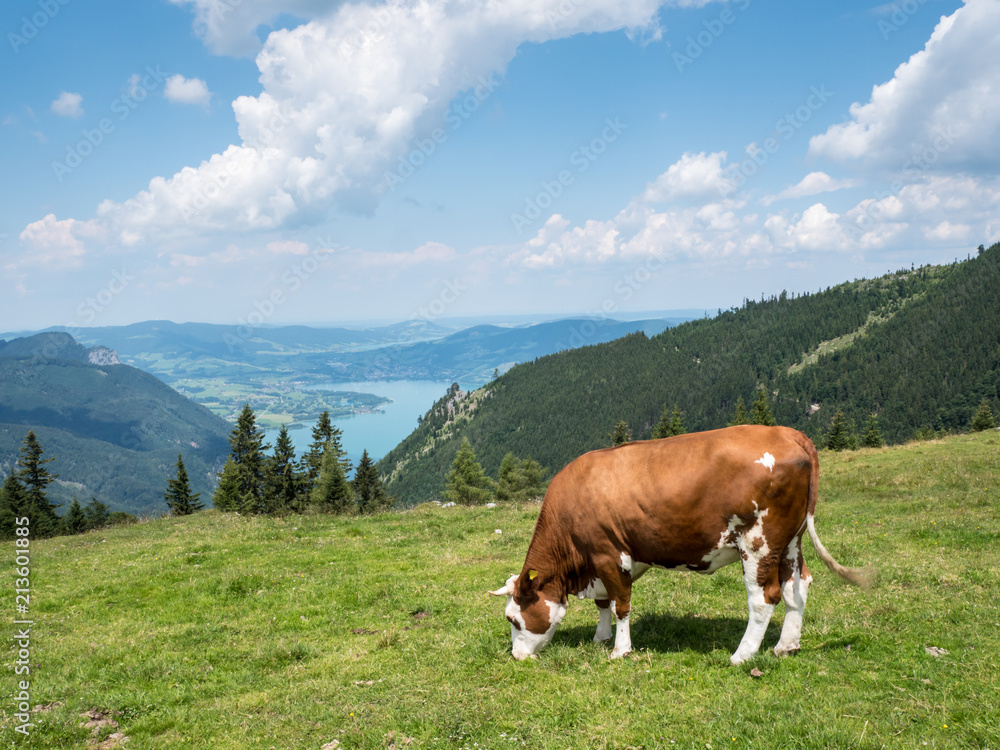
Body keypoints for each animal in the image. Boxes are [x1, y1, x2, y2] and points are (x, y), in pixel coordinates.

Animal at [490, 425, 870, 664]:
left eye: (513, 619)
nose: (517, 657)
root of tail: (788, 432)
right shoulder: (598, 562)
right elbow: (604, 602)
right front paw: (601, 637)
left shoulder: (608, 554)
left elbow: (621, 604)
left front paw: (620, 650)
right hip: (791, 541)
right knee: (797, 587)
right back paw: (786, 647)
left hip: (759, 542)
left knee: (765, 598)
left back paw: (741, 655)